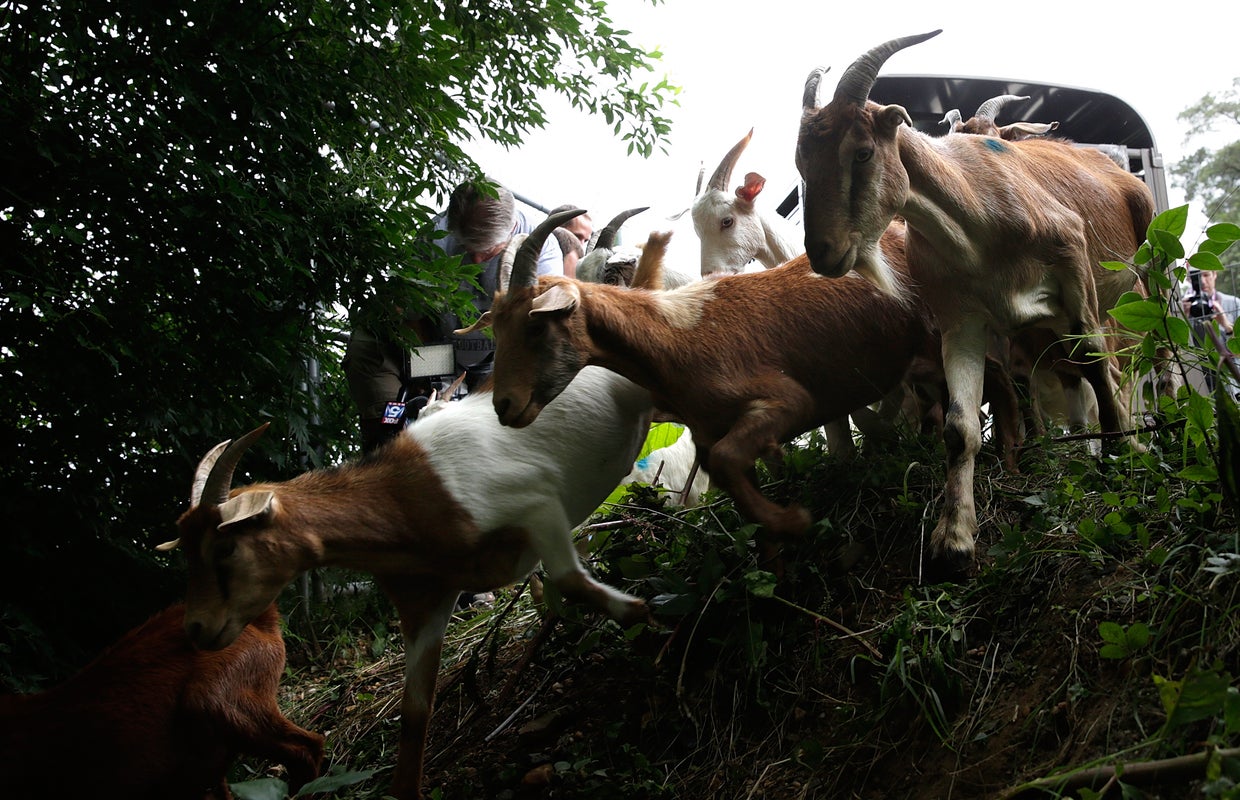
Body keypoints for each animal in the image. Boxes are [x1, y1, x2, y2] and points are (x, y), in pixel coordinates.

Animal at [158, 215, 655, 800]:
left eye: (226, 548)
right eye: (186, 552)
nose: (197, 630)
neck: (407, 494)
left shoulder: (535, 504)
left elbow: (570, 578)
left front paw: (642, 616)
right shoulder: (426, 604)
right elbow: (415, 715)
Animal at [796, 31, 1155, 574]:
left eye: (861, 153)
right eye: (801, 161)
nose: (824, 252)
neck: (975, 223)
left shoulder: (1073, 270)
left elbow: (1094, 364)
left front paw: (1118, 457)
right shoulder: (963, 323)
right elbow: (959, 425)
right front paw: (954, 539)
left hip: (1141, 283)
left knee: (1131, 364)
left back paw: (1136, 436)